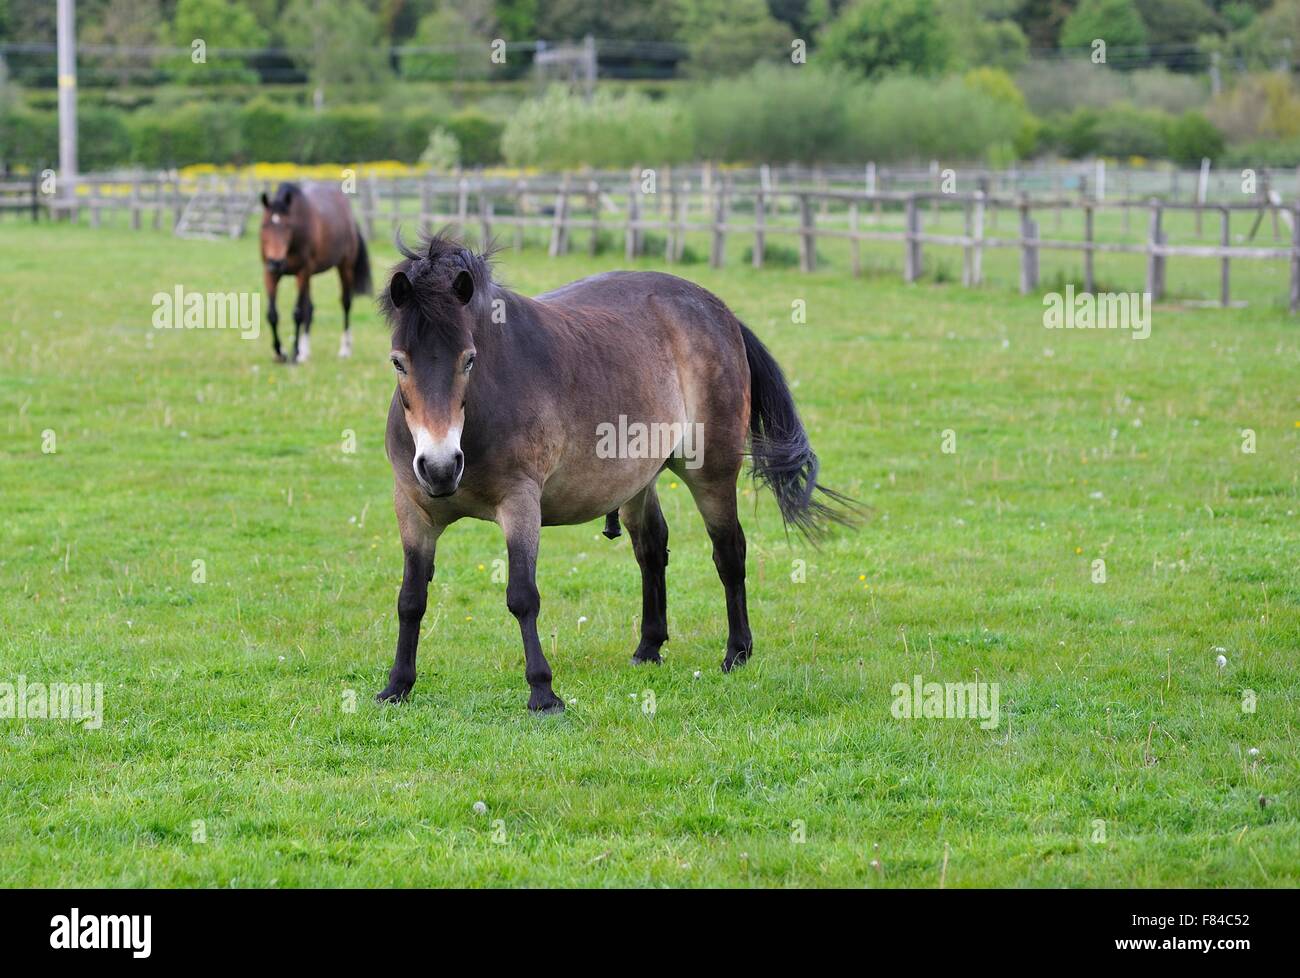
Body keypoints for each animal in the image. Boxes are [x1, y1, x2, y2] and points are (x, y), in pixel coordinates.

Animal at [259, 182, 372, 363]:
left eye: (288, 226)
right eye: (264, 226)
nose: (276, 262)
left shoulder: (302, 272)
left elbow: (298, 313)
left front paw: (294, 352)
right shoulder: (270, 274)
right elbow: (272, 314)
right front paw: (280, 352)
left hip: (344, 267)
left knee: (346, 303)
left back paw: (345, 349)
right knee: (309, 309)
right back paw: (305, 351)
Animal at [375, 232, 855, 713]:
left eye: (469, 360)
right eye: (398, 362)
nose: (440, 467)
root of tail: (720, 312)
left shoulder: (520, 505)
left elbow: (522, 597)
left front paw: (543, 692)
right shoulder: (413, 512)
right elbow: (410, 599)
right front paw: (397, 685)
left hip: (711, 473)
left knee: (729, 552)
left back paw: (736, 652)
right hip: (637, 480)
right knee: (652, 549)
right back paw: (649, 646)